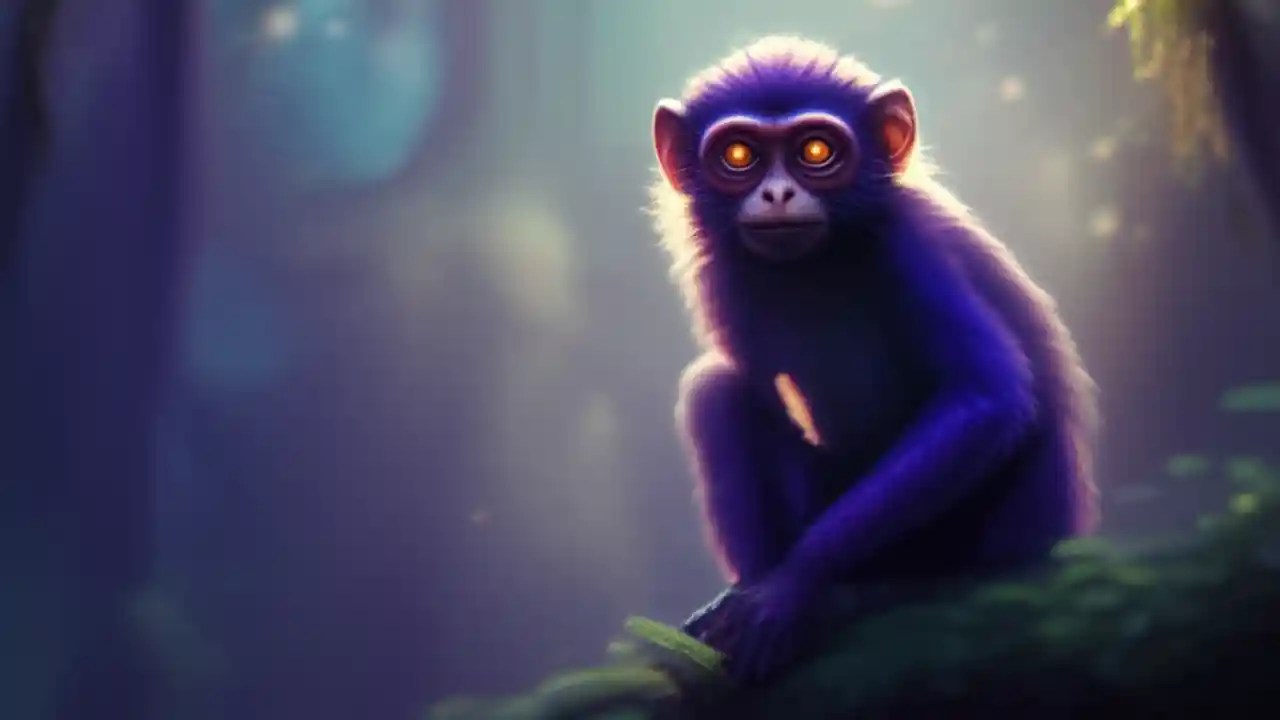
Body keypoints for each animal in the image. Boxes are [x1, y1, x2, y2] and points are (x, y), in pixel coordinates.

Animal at [648, 36, 1100, 683]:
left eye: (816, 150)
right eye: (738, 155)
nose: (778, 193)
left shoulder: (910, 243)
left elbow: (985, 397)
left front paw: (792, 582)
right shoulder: (727, 276)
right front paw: (760, 593)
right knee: (716, 390)